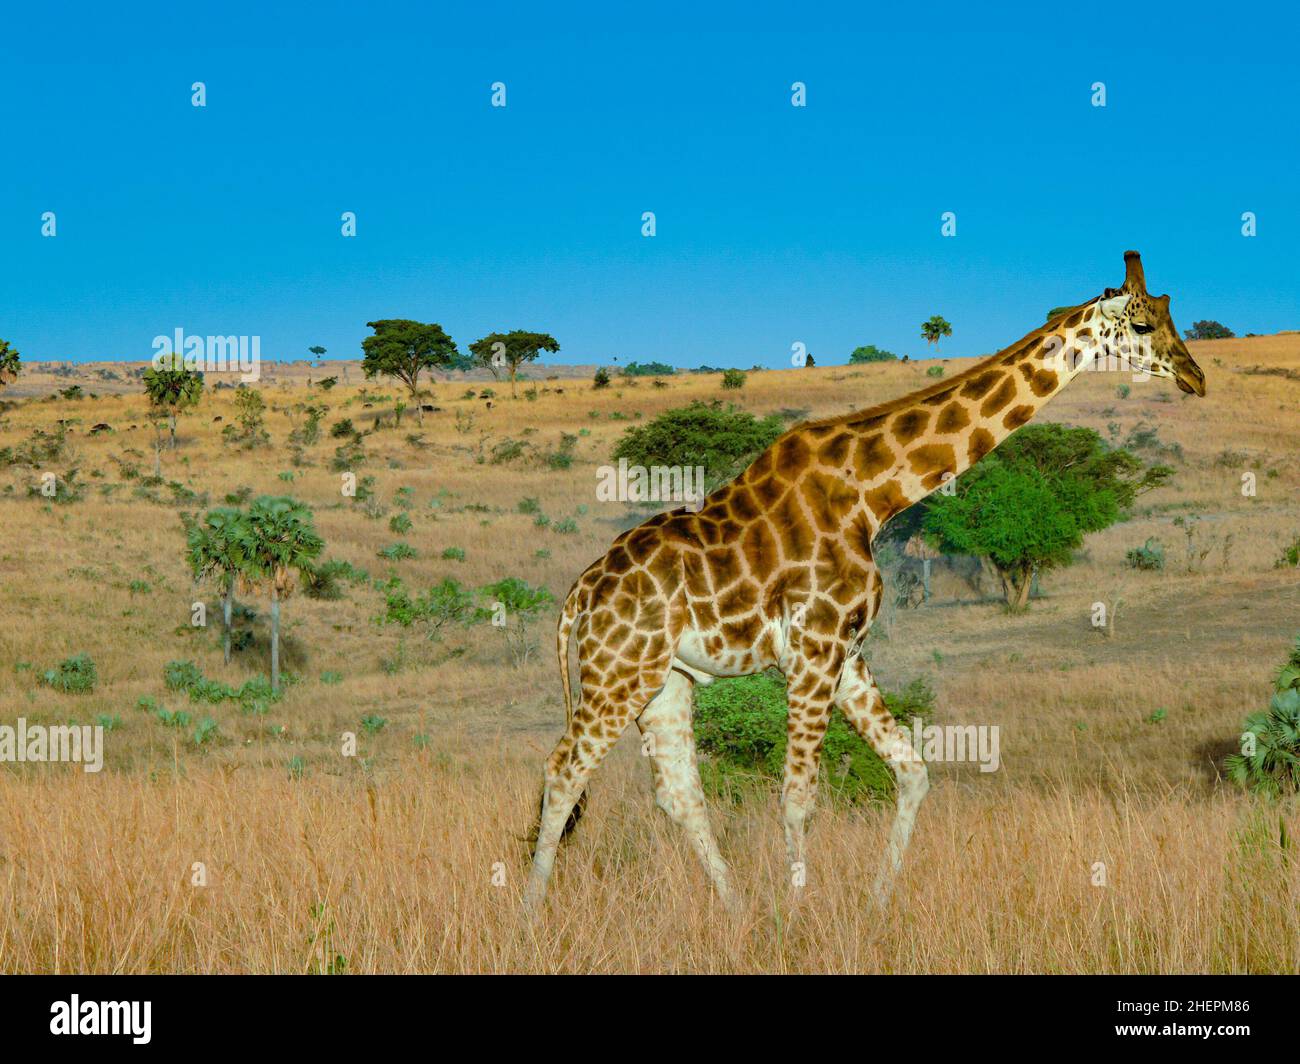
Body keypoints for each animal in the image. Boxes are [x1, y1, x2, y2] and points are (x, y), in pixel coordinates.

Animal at [525, 251, 1205, 913]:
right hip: (618, 673)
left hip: (664, 681)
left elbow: (913, 772)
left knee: (676, 791)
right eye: (1142, 324)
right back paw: (532, 914)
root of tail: (579, 596)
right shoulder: (814, 648)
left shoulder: (847, 652)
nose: (1196, 377)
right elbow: (798, 796)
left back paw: (736, 911)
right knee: (562, 770)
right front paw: (799, 918)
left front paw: (877, 903)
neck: (872, 496)